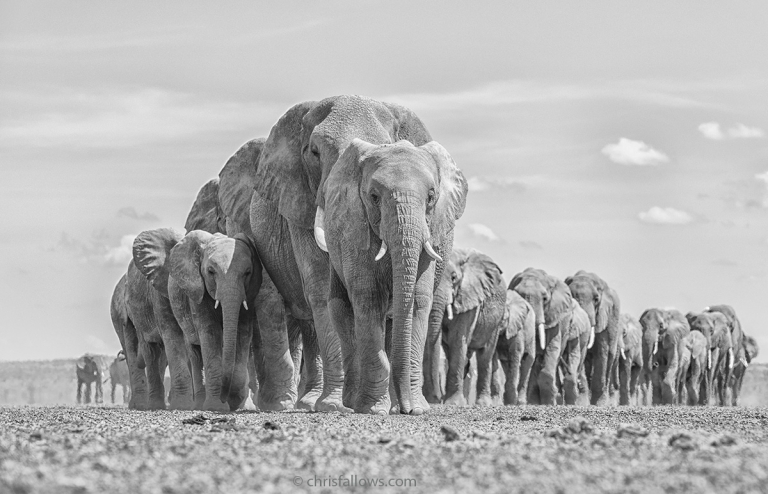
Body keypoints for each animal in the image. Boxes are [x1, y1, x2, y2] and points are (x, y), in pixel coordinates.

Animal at [321, 138, 467, 415]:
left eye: (431, 197)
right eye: (374, 197)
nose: (407, 409)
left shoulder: (430, 232)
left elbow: (419, 301)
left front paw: (417, 409)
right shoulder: (356, 228)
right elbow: (368, 299)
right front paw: (373, 410)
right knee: (341, 312)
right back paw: (354, 404)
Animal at [422, 248, 505, 407]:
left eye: (454, 277)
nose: (436, 399)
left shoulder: (469, 296)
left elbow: (457, 339)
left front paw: (453, 404)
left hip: (497, 322)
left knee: (485, 355)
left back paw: (483, 404)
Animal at [565, 271, 620, 406]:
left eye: (596, 299)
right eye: (570, 296)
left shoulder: (607, 314)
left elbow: (602, 350)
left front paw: (599, 404)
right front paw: (581, 403)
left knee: (610, 358)